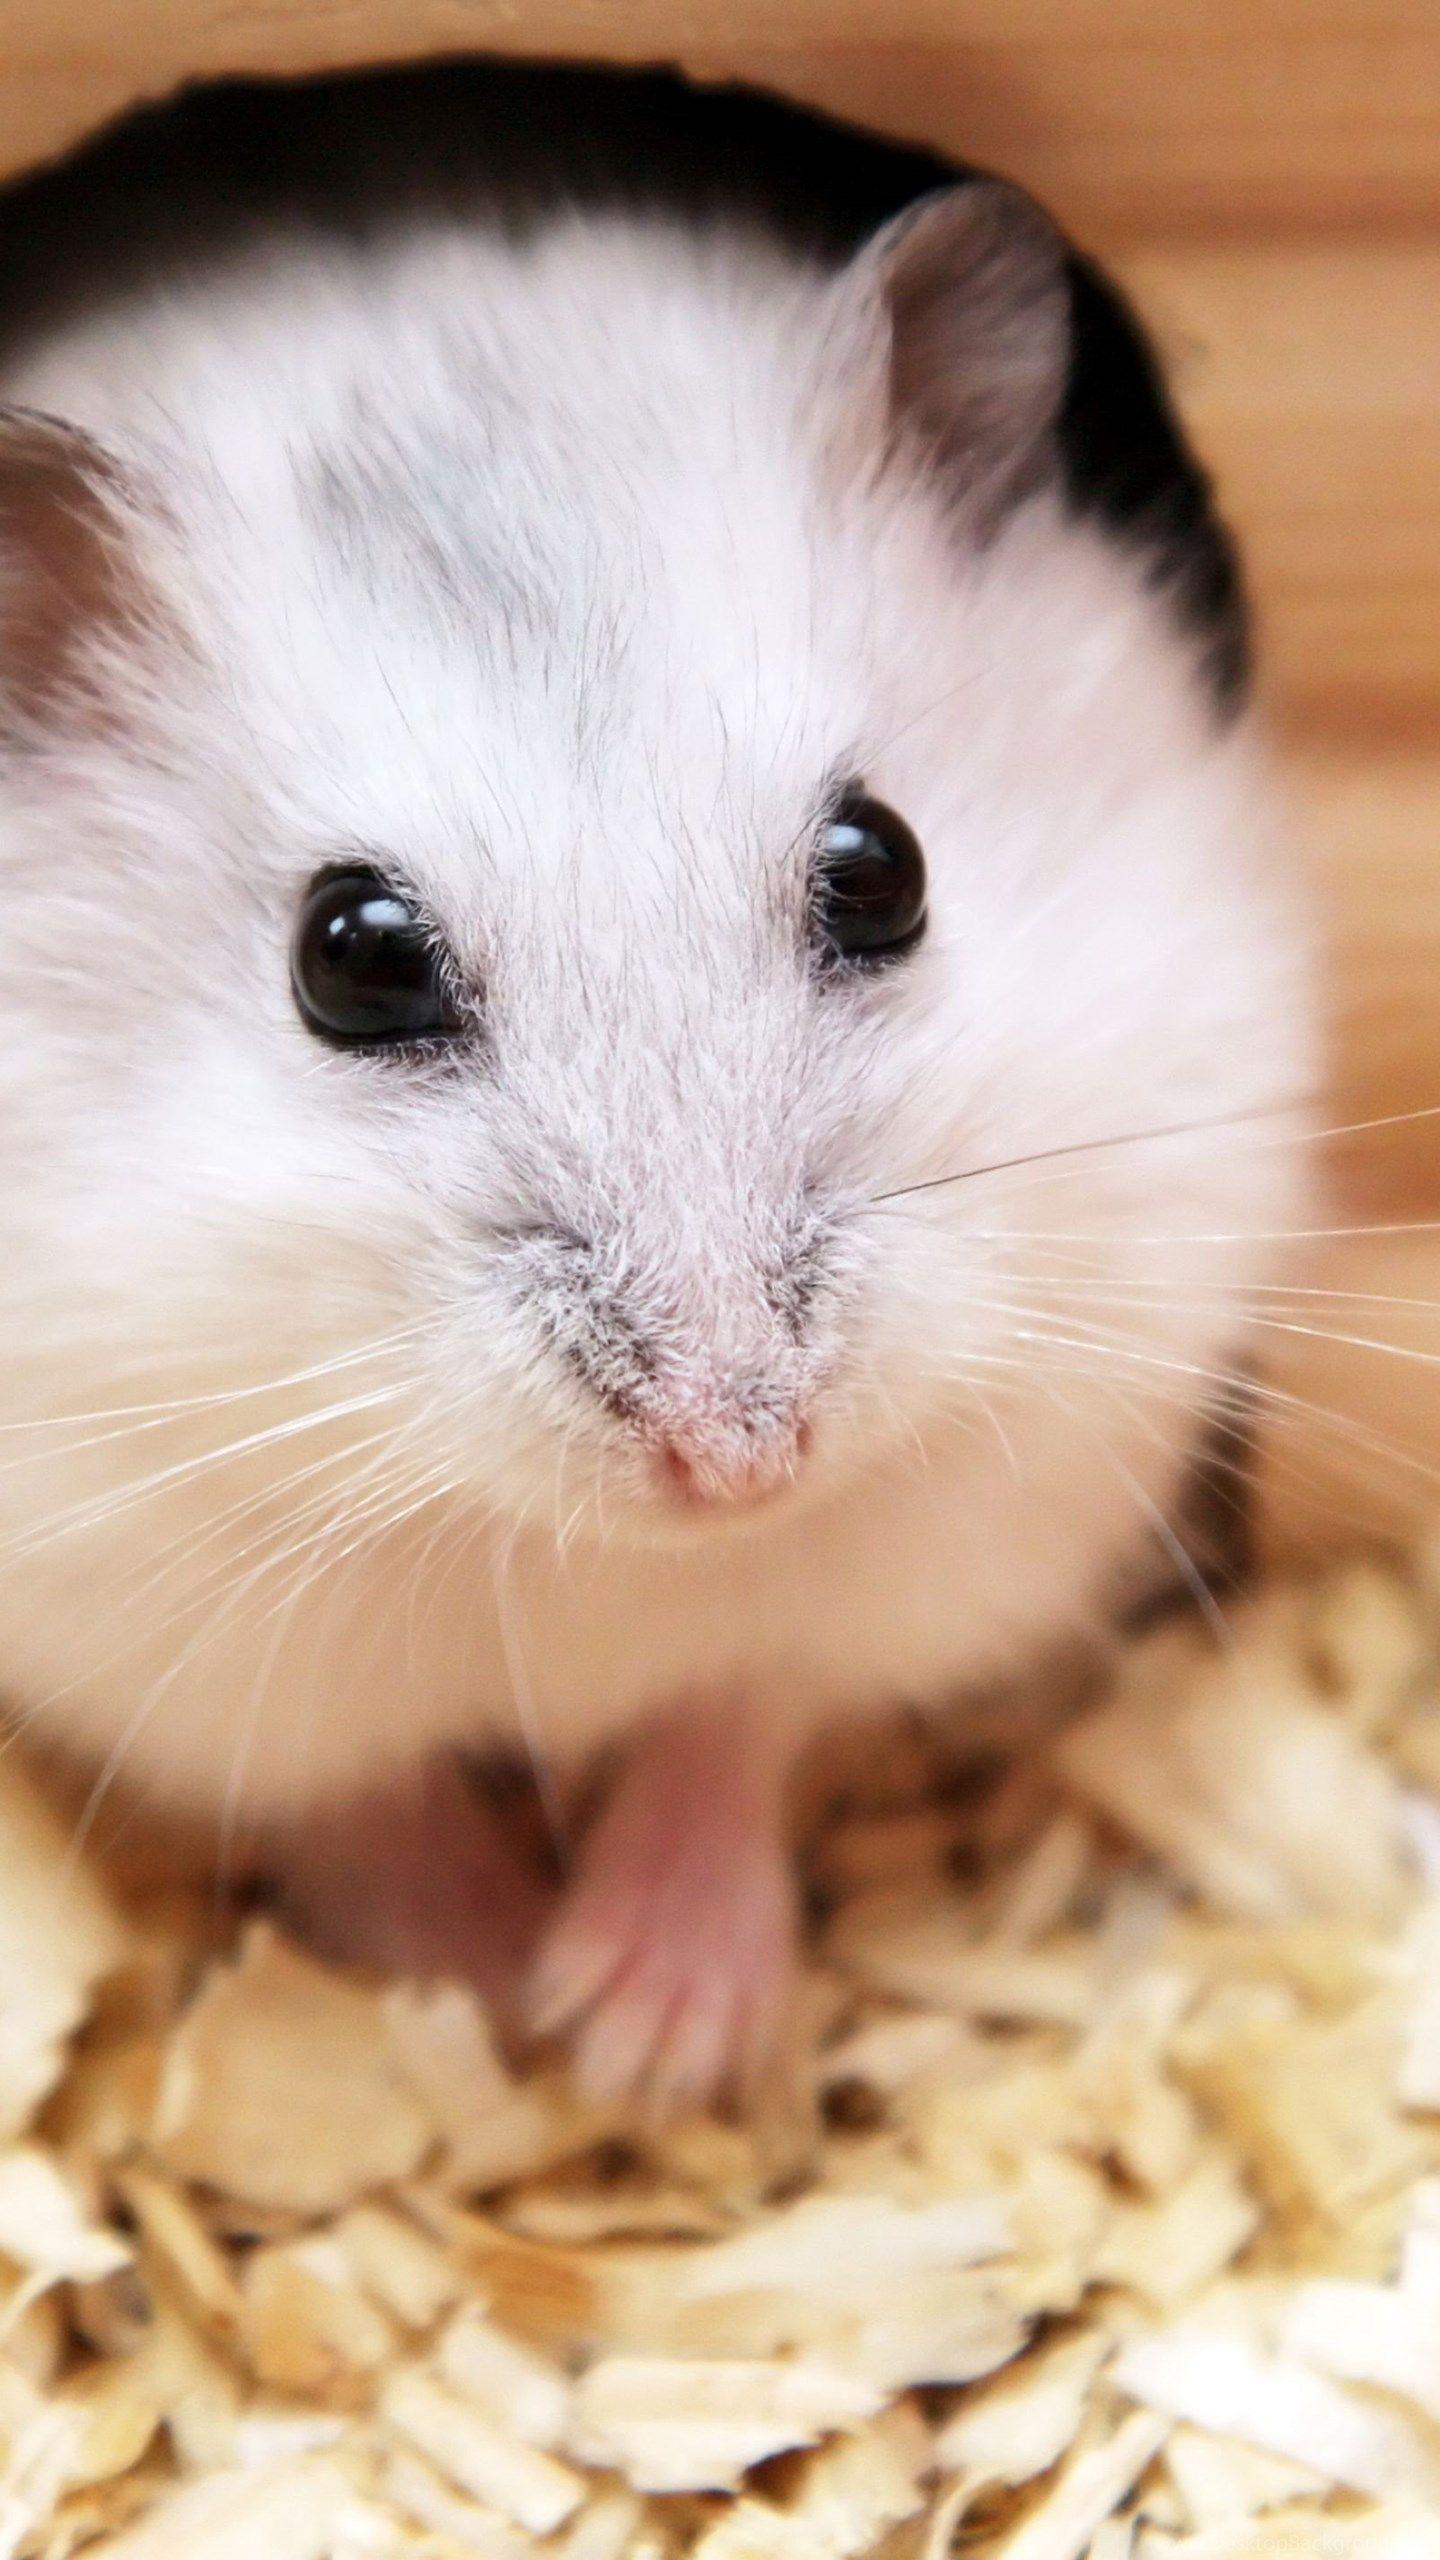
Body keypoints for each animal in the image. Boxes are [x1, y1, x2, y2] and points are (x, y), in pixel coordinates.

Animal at [0, 63, 1315, 2105]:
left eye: (883, 866)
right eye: (351, 958)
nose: (739, 1459)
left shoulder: (938, 1530)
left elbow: (740, 1714)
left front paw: (634, 2038)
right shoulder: (166, 1624)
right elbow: (360, 1811)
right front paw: (490, 2005)